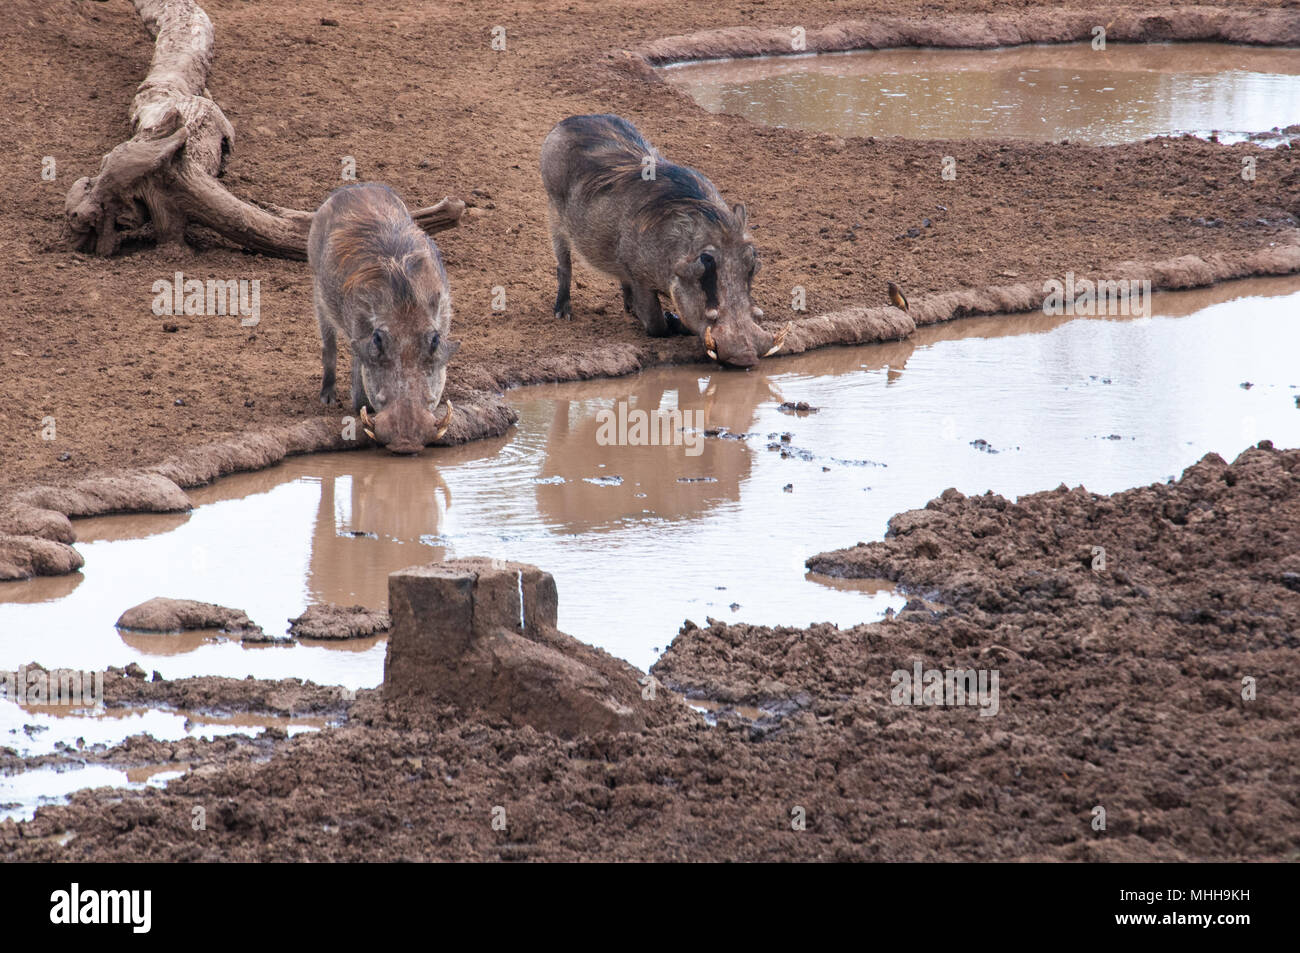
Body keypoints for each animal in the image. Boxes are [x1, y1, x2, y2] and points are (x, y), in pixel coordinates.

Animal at [308, 182, 456, 454]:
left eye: (435, 341)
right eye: (377, 339)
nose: (406, 442)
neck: (405, 302)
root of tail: (357, 186)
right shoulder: (359, 330)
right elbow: (359, 382)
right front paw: (359, 407)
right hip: (317, 287)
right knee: (329, 345)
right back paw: (328, 397)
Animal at [540, 114, 789, 368]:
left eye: (753, 261)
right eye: (706, 259)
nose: (745, 356)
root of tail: (571, 120)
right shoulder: (640, 279)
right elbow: (656, 326)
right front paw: (669, 319)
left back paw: (629, 309)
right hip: (554, 213)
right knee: (564, 265)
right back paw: (563, 311)